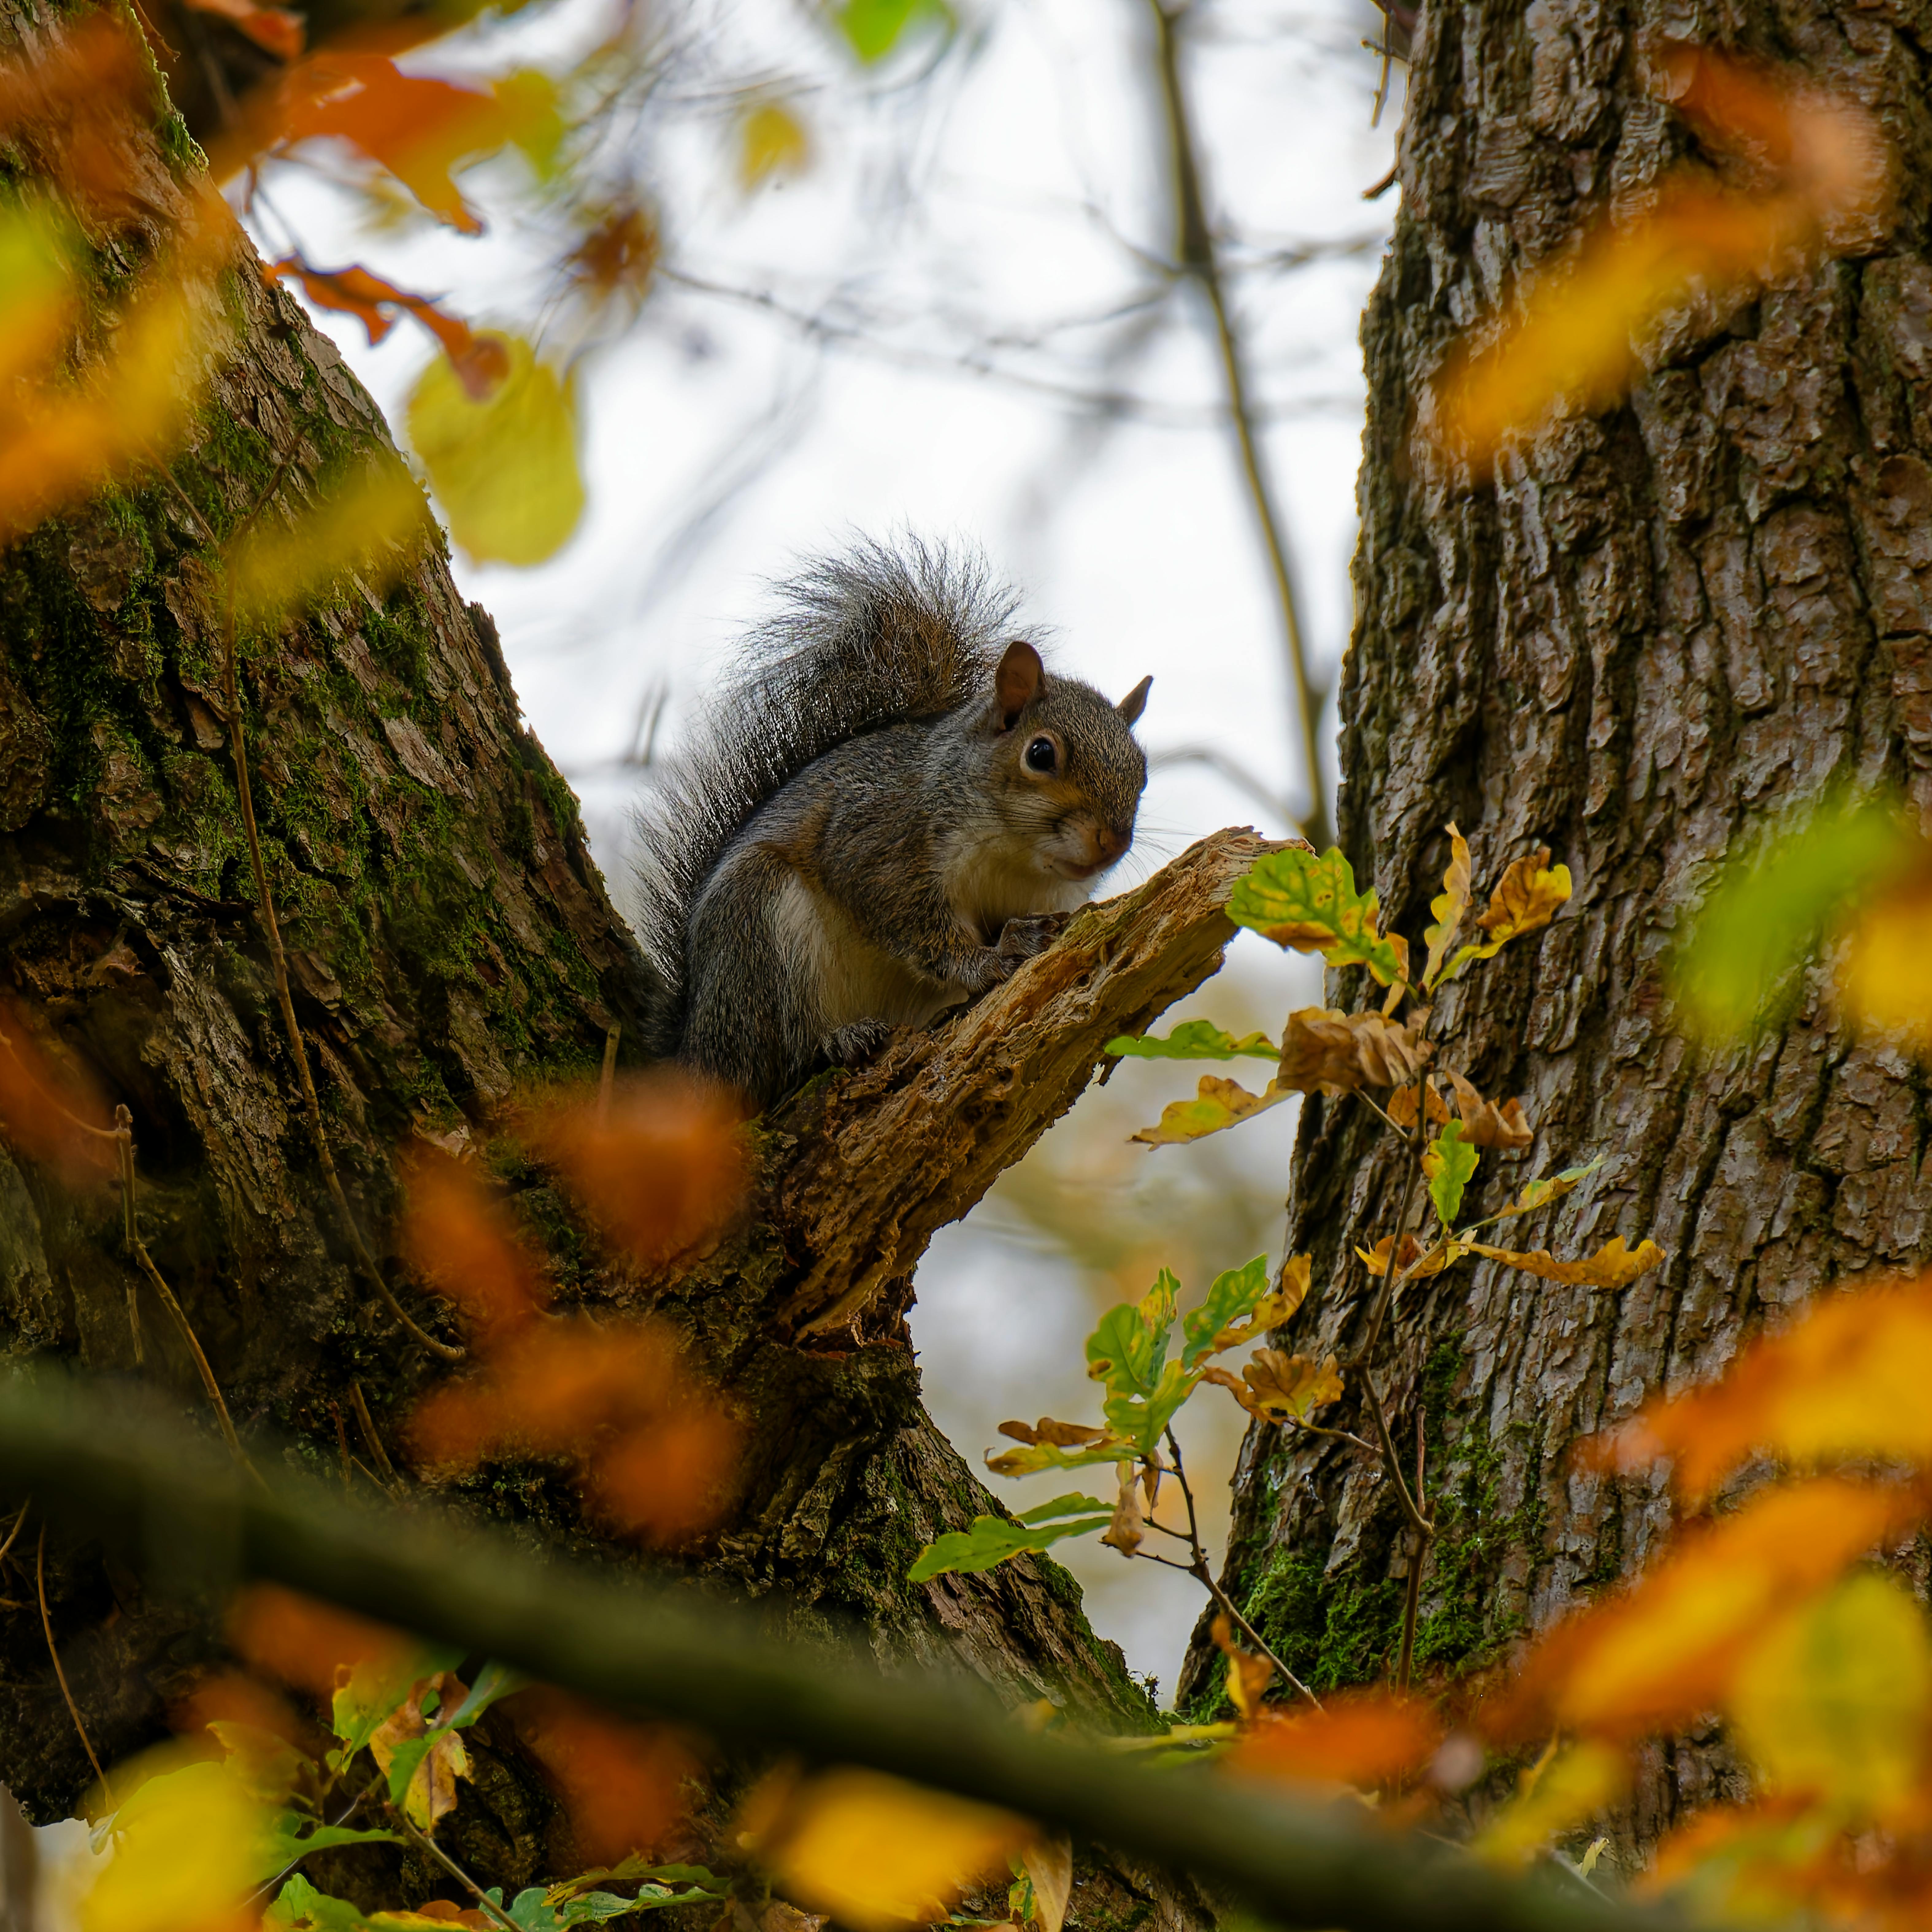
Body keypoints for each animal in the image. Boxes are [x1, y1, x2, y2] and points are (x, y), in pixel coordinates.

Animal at [634, 539, 1153, 1108]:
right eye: (1040, 753)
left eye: (1143, 772)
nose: (1112, 843)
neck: (1015, 857)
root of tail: (693, 1047)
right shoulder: (876, 840)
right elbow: (914, 925)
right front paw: (985, 960)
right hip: (753, 930)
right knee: (774, 1060)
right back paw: (836, 1040)